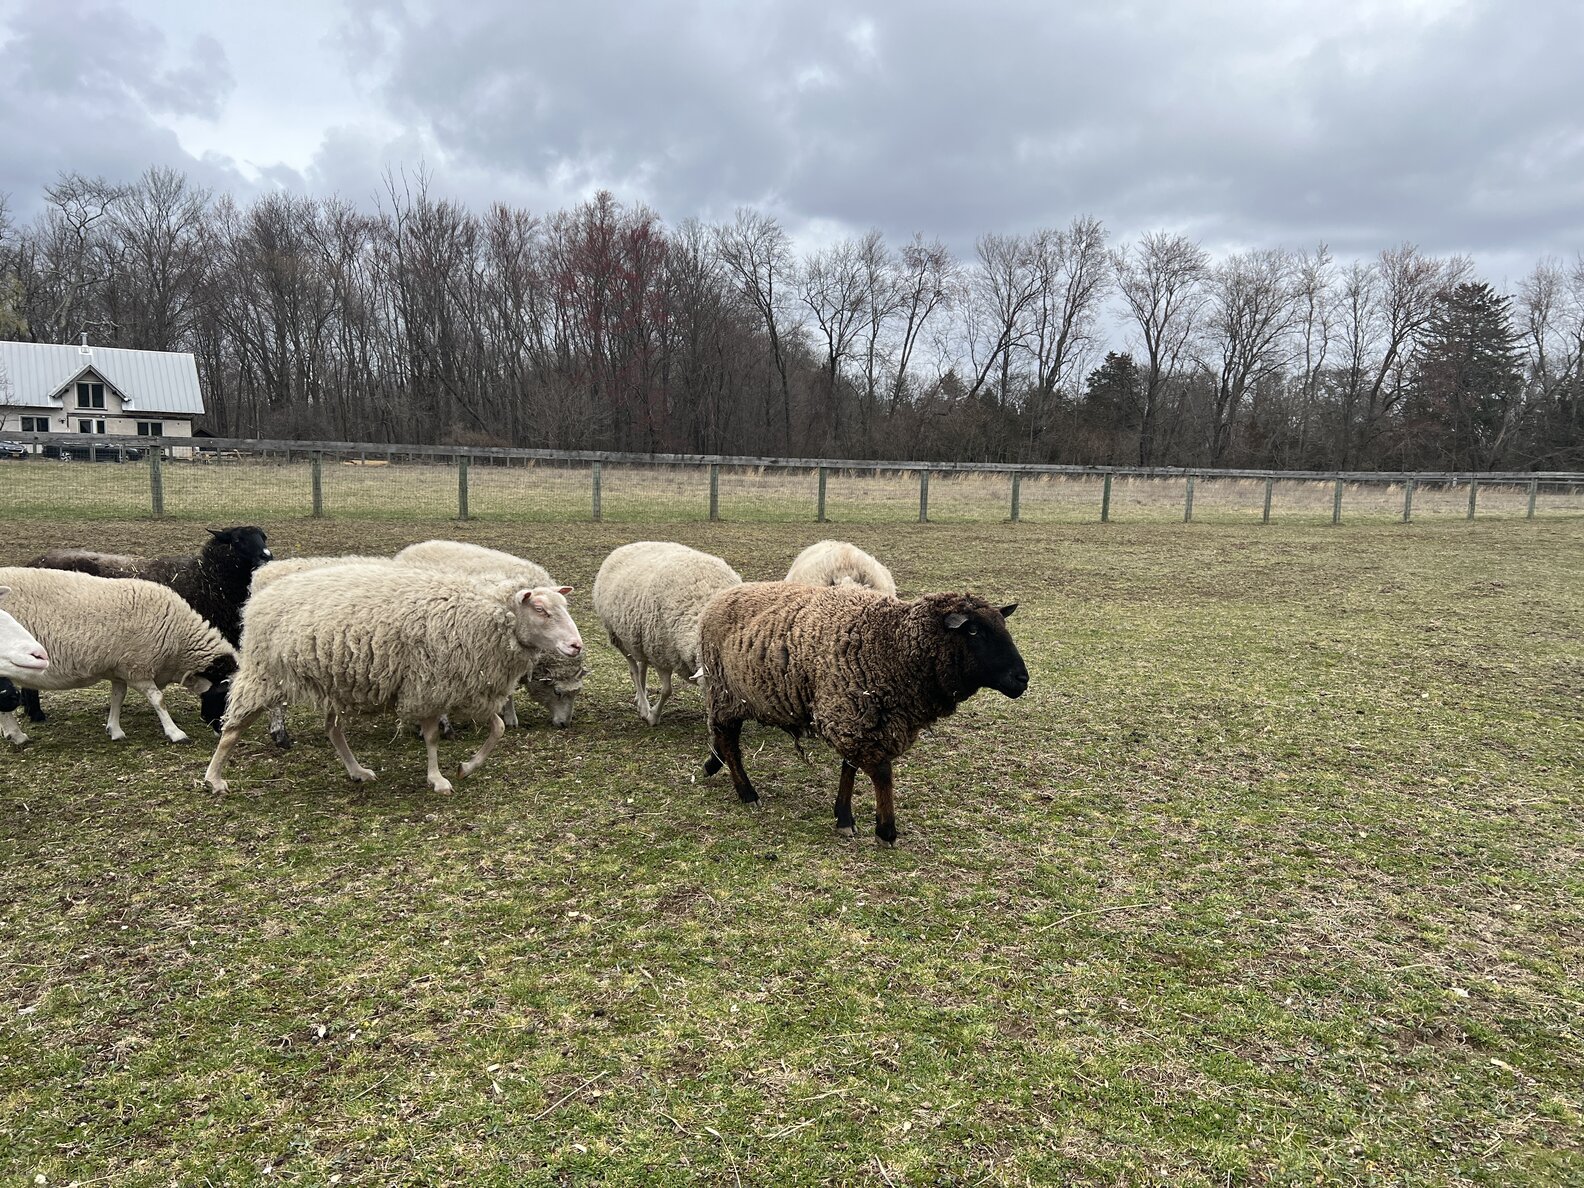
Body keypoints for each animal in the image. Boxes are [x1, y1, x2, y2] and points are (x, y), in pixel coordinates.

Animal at [0, 567, 235, 747]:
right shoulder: (138, 667)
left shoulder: (119, 668)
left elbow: (118, 697)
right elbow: (158, 699)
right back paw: (17, 735)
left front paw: (114, 730)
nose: (222, 731)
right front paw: (176, 733)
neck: (177, 638)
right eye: (224, 696)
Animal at [25, 526, 272, 727]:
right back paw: (36, 714)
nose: (267, 556)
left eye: (263, 537)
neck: (206, 577)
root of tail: (32, 561)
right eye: (238, 540)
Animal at [204, 564, 583, 794]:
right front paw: (438, 779)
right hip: (263, 673)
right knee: (233, 729)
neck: (485, 614)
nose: (576, 644)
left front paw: (466, 766)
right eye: (541, 610)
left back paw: (357, 771)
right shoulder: (429, 686)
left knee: (333, 730)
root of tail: (261, 598)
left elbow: (499, 729)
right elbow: (432, 738)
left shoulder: (465, 686)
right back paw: (214, 778)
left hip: (332, 683)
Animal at [592, 542, 742, 725]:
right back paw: (643, 706)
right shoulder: (660, 655)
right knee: (634, 671)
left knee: (642, 666)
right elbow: (666, 690)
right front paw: (652, 716)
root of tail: (629, 545)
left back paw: (641, 696)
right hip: (619, 637)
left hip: (639, 637)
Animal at [698, 583, 1028, 845]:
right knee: (728, 740)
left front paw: (844, 816)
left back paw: (712, 765)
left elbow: (850, 767)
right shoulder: (850, 712)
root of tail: (720, 597)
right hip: (725, 691)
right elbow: (881, 772)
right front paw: (886, 830)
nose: (1022, 679)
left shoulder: (857, 715)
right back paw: (747, 792)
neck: (890, 642)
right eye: (973, 630)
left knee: (721, 737)